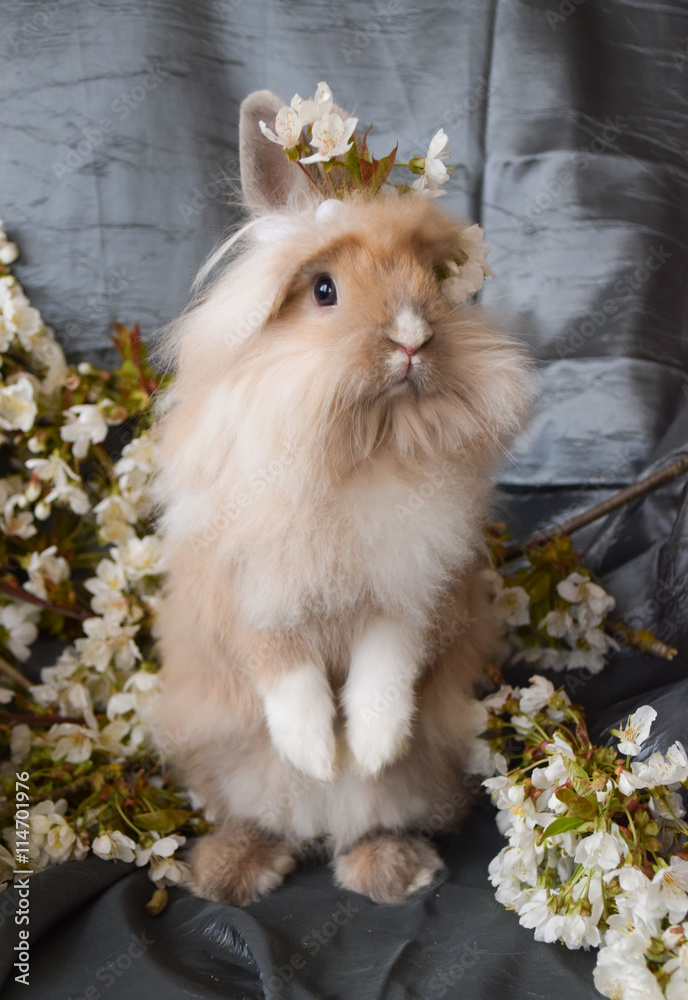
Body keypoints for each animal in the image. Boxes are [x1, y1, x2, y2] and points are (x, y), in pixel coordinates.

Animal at [151, 88, 533, 906]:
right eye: (324, 290)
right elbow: (283, 672)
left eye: (433, 282)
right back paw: (234, 871)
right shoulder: (246, 593)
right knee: (262, 814)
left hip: (422, 771)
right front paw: (317, 754)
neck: (358, 449)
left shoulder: (413, 592)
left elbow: (385, 675)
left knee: (375, 814)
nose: (412, 338)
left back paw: (390, 867)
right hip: (223, 756)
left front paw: (364, 745)